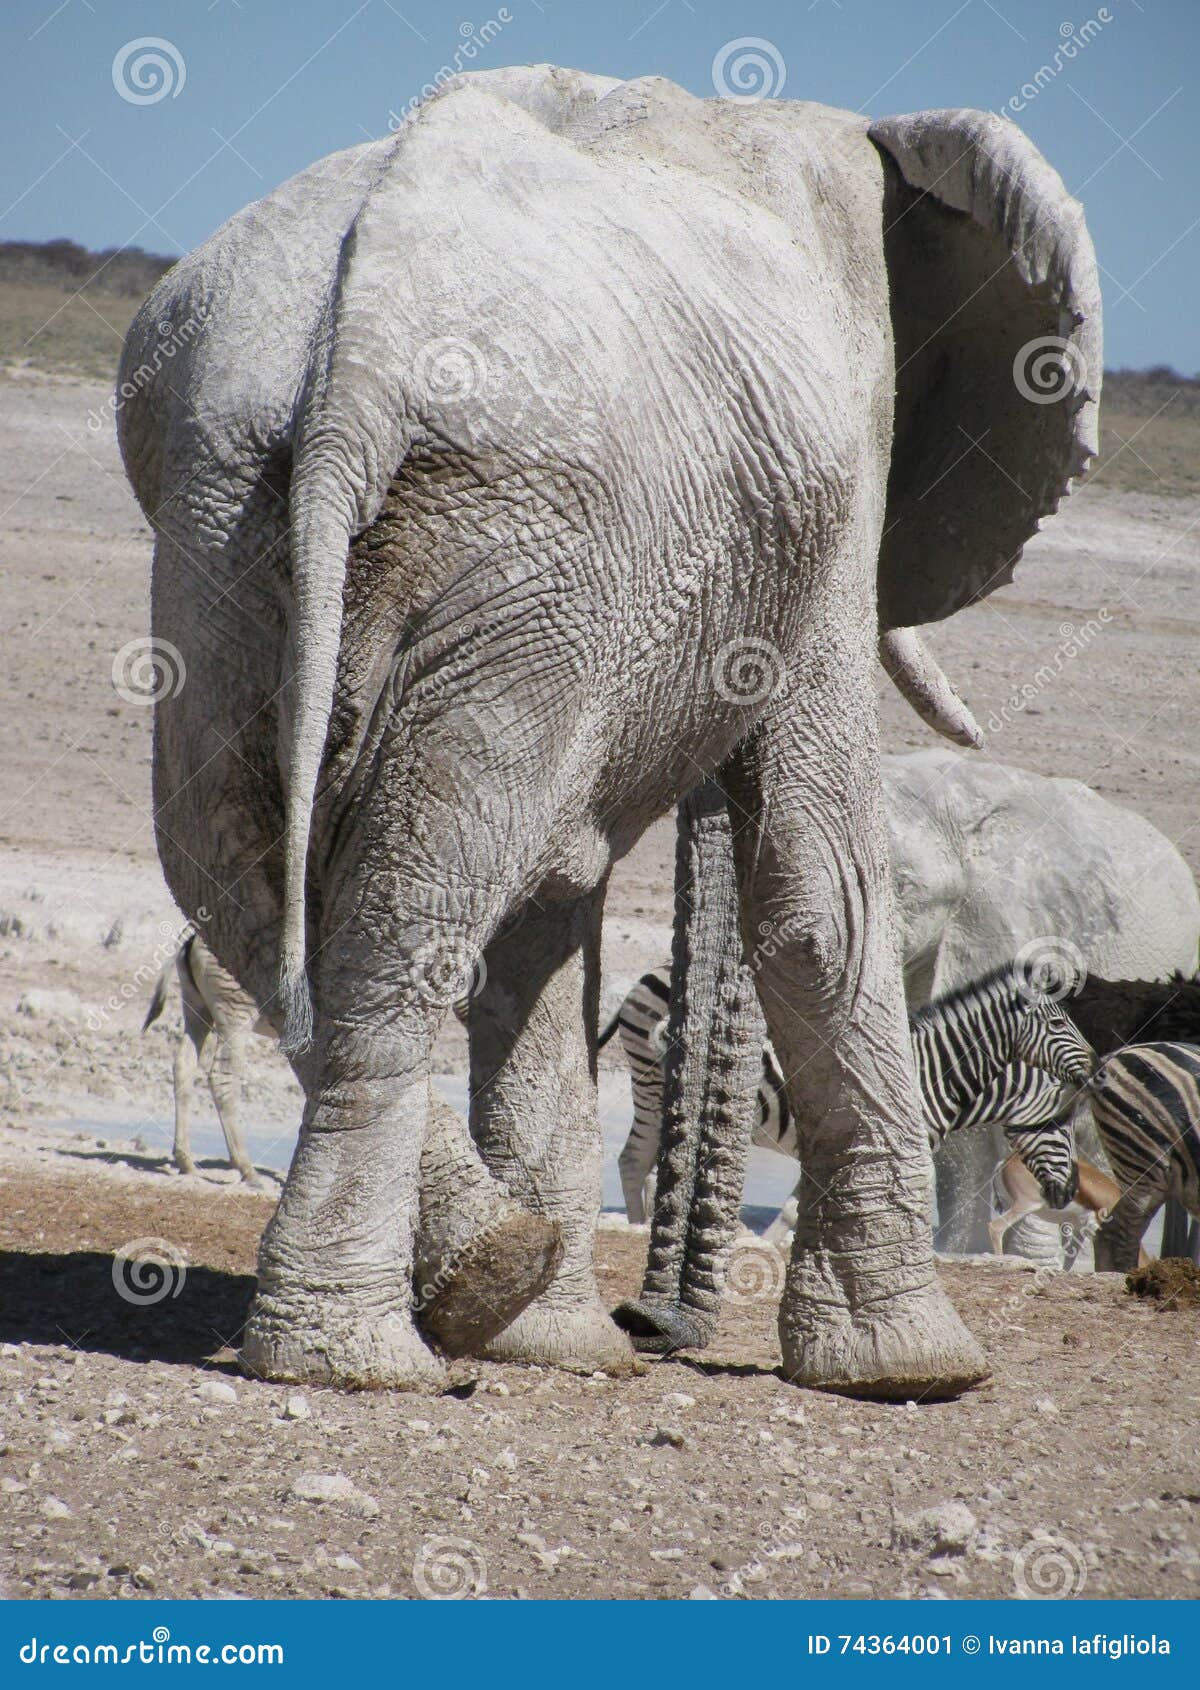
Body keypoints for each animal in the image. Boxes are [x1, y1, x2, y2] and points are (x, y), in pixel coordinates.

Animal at [116, 64, 1100, 1397]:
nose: (658, 1326)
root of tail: (356, 364)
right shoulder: (825, 499)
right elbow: (820, 895)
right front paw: (917, 1371)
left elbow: (546, 911)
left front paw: (559, 1346)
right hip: (499, 531)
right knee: (408, 901)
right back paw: (361, 1356)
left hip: (232, 513)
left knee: (243, 873)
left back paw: (483, 1279)